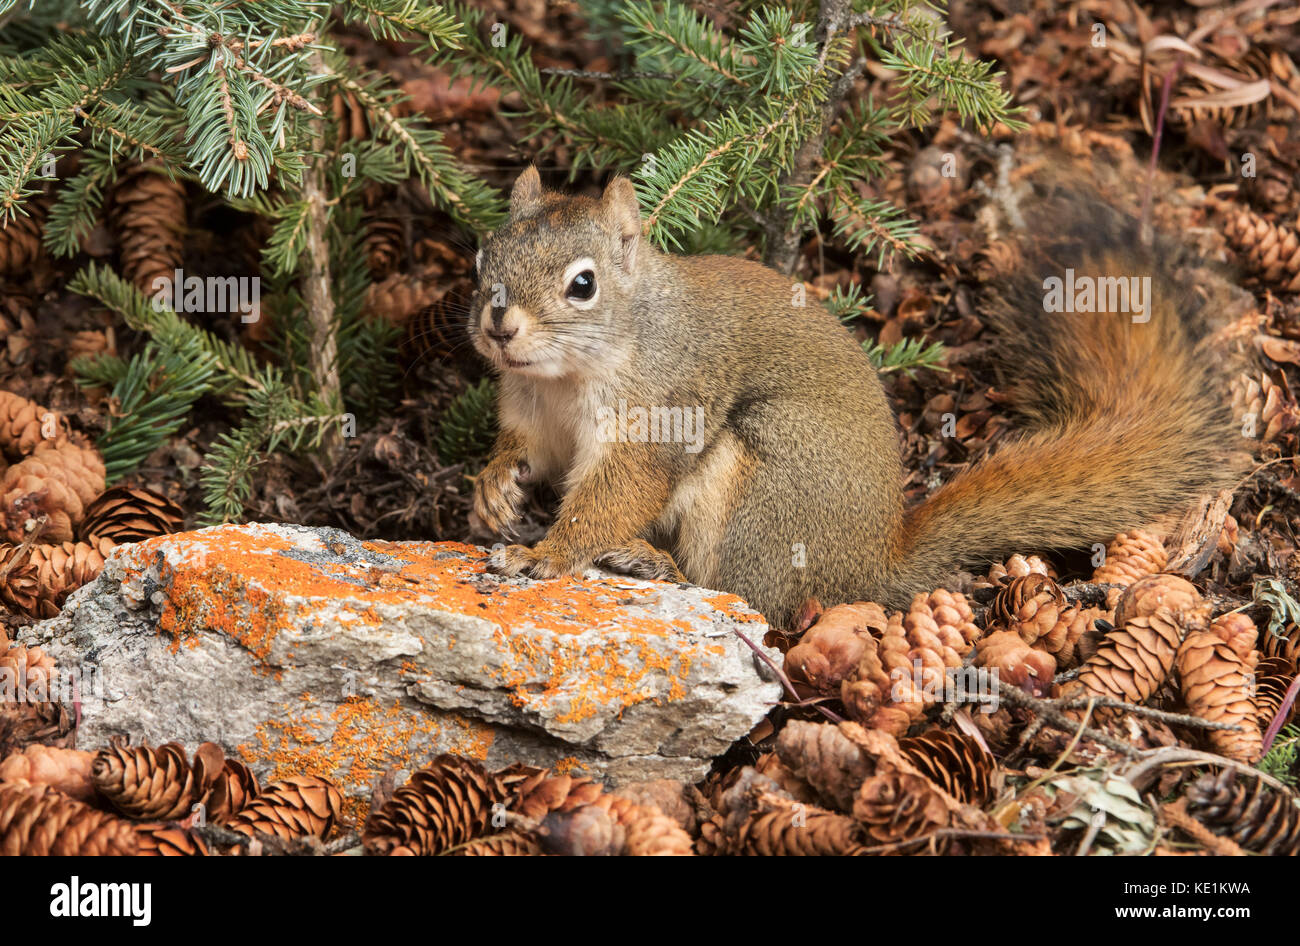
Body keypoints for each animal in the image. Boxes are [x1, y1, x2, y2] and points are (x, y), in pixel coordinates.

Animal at [468, 165, 1240, 629]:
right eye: (482, 259)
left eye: (584, 284)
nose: (498, 324)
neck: (564, 377)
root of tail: (873, 563)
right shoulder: (532, 411)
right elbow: (526, 450)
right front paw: (493, 489)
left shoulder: (660, 407)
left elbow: (613, 494)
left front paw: (544, 555)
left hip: (775, 480)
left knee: (749, 594)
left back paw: (655, 564)